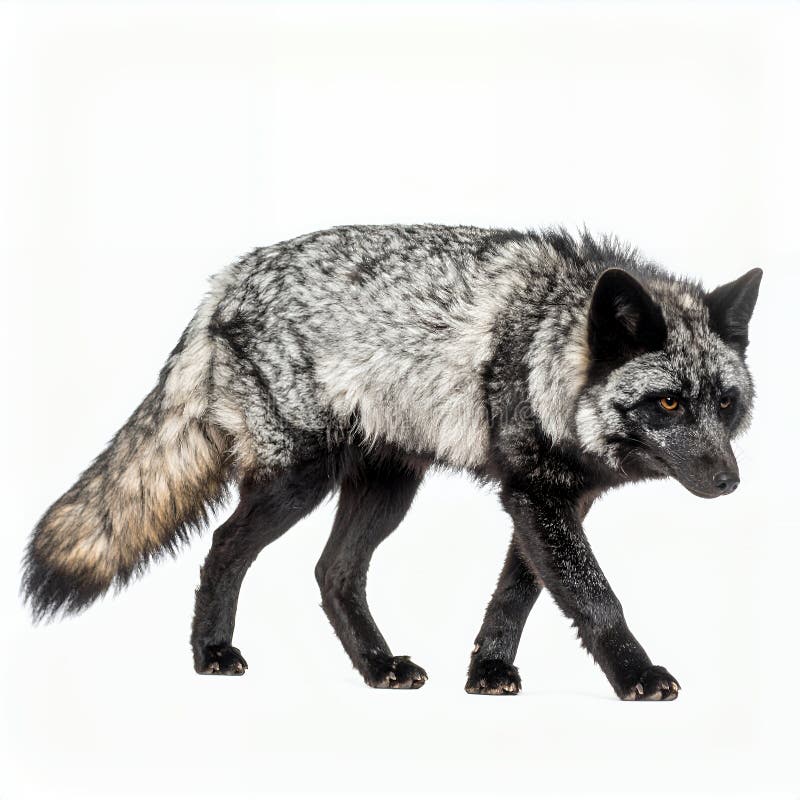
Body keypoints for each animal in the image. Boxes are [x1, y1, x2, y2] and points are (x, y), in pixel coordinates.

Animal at [22, 225, 762, 701]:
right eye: (668, 402)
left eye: (725, 404)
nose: (730, 482)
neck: (541, 342)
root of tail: (225, 283)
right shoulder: (536, 497)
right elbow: (596, 598)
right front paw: (636, 676)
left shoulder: (550, 499)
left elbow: (516, 595)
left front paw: (487, 673)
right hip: (299, 481)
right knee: (224, 548)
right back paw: (212, 653)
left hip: (387, 489)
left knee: (333, 573)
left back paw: (377, 668)